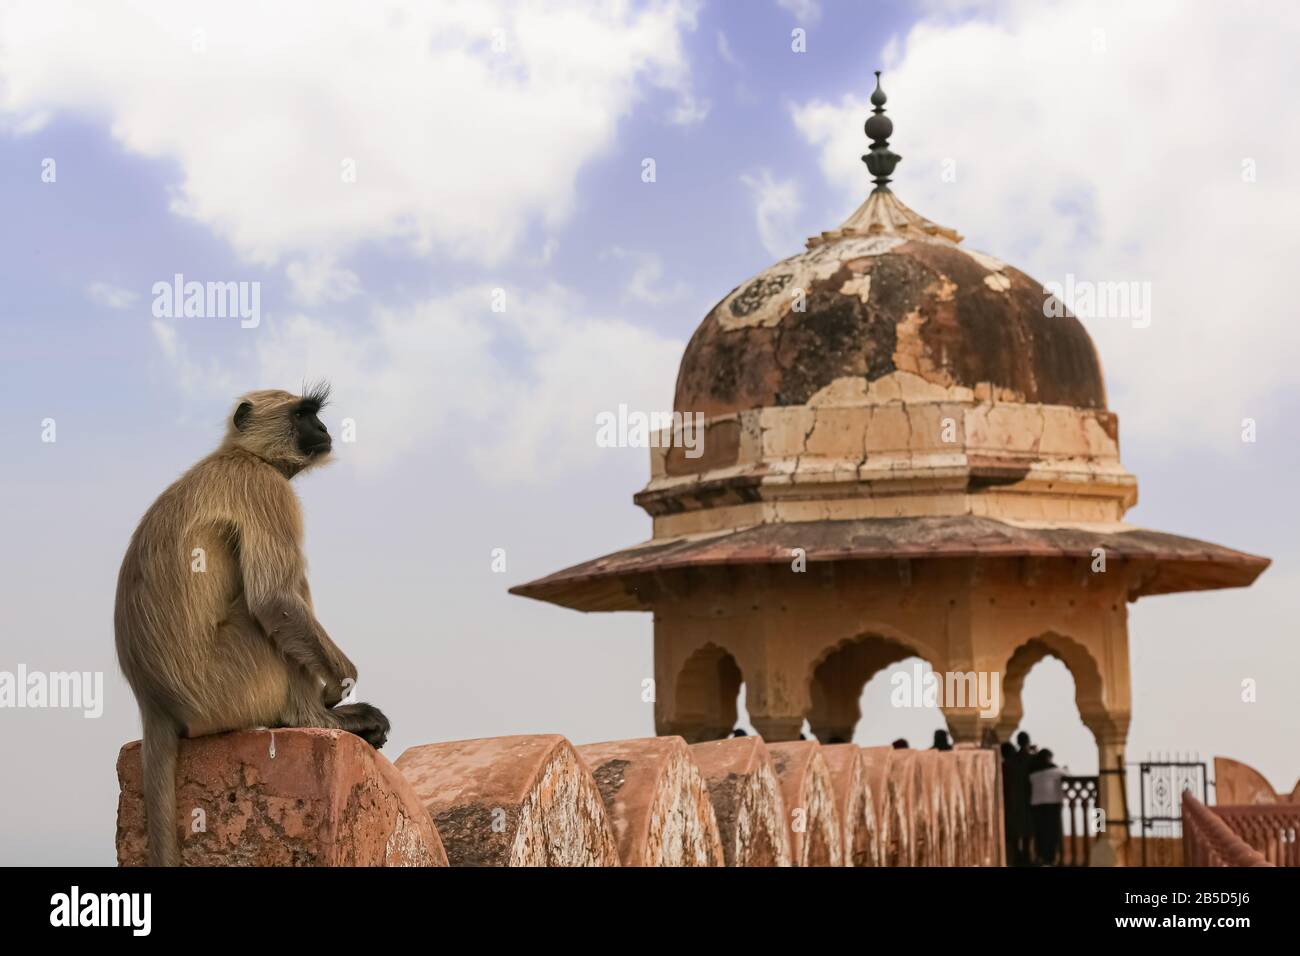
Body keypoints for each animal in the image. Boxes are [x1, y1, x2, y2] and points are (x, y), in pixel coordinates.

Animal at [114, 382, 389, 866]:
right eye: (303, 415)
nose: (323, 429)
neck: (241, 455)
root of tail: (152, 701)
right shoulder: (265, 487)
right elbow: (273, 599)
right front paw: (340, 686)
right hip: (230, 684)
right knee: (269, 607)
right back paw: (318, 717)